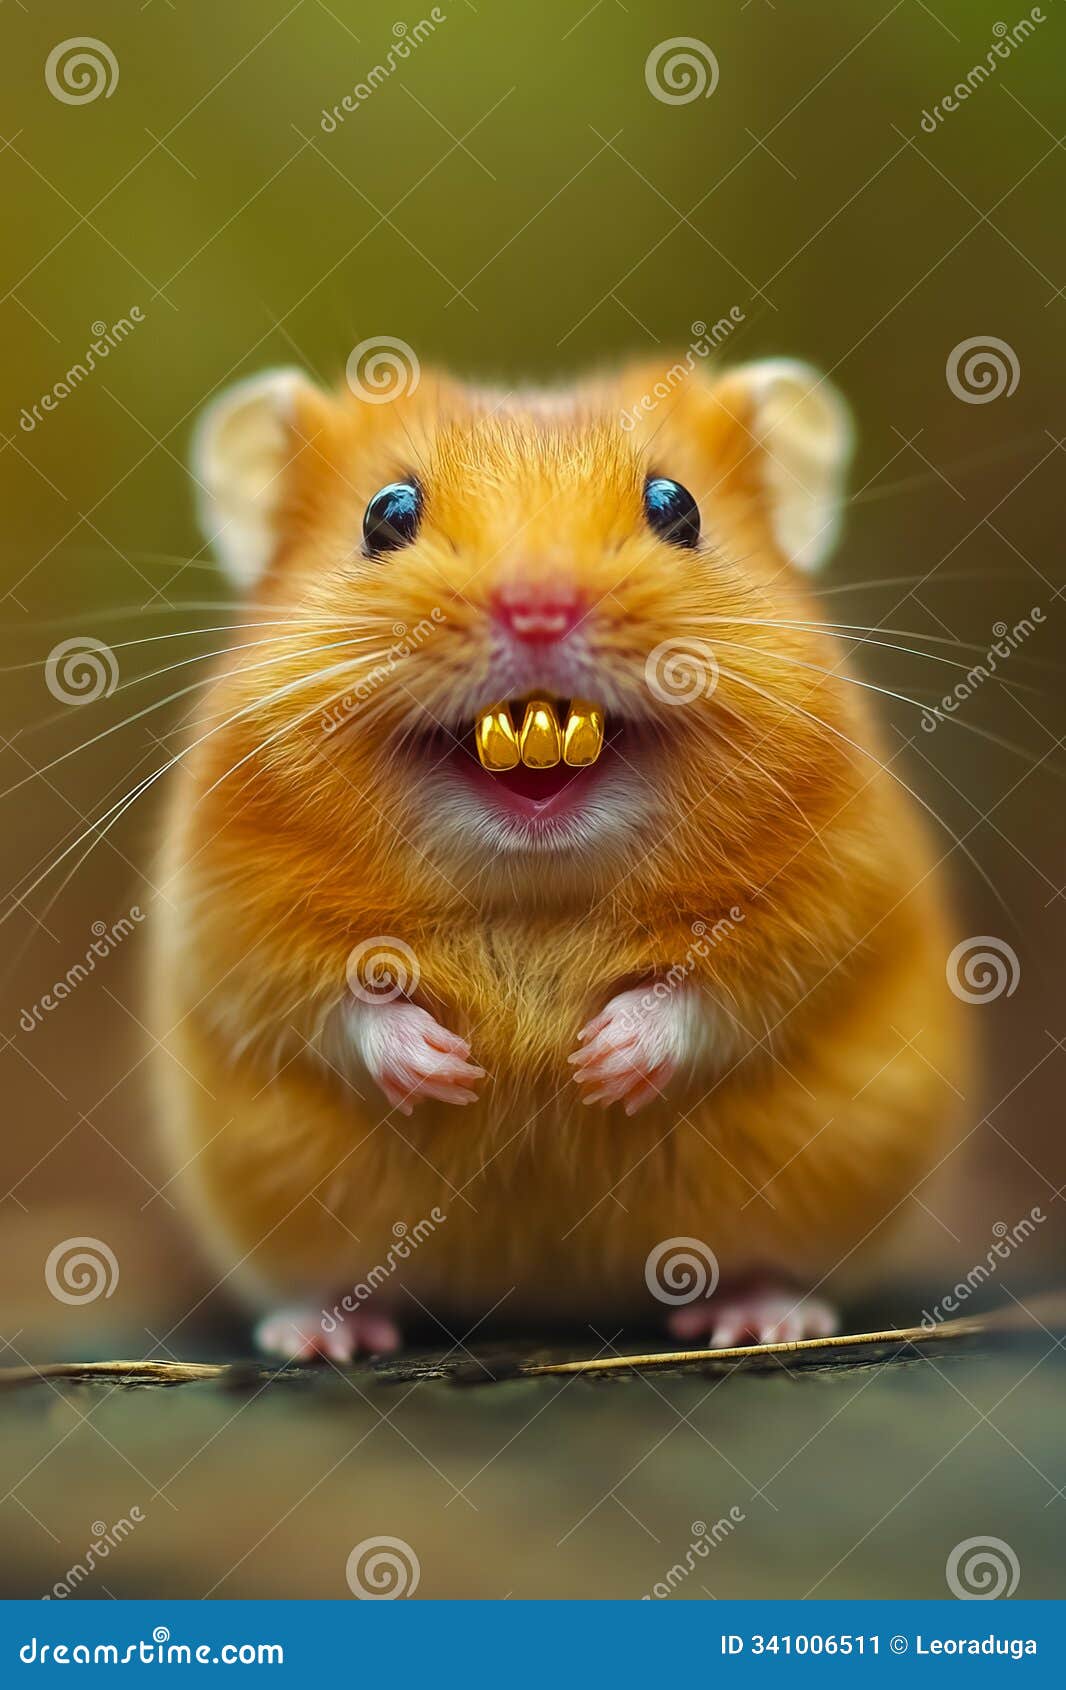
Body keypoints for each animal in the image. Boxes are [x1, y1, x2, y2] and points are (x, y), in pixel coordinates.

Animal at [152, 354, 966, 1359]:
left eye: (676, 507)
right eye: (386, 514)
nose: (539, 611)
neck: (535, 879)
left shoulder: (827, 907)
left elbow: (715, 996)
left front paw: (587, 1062)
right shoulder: (235, 932)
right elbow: (340, 1004)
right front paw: (462, 1068)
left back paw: (758, 1318)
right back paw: (322, 1335)